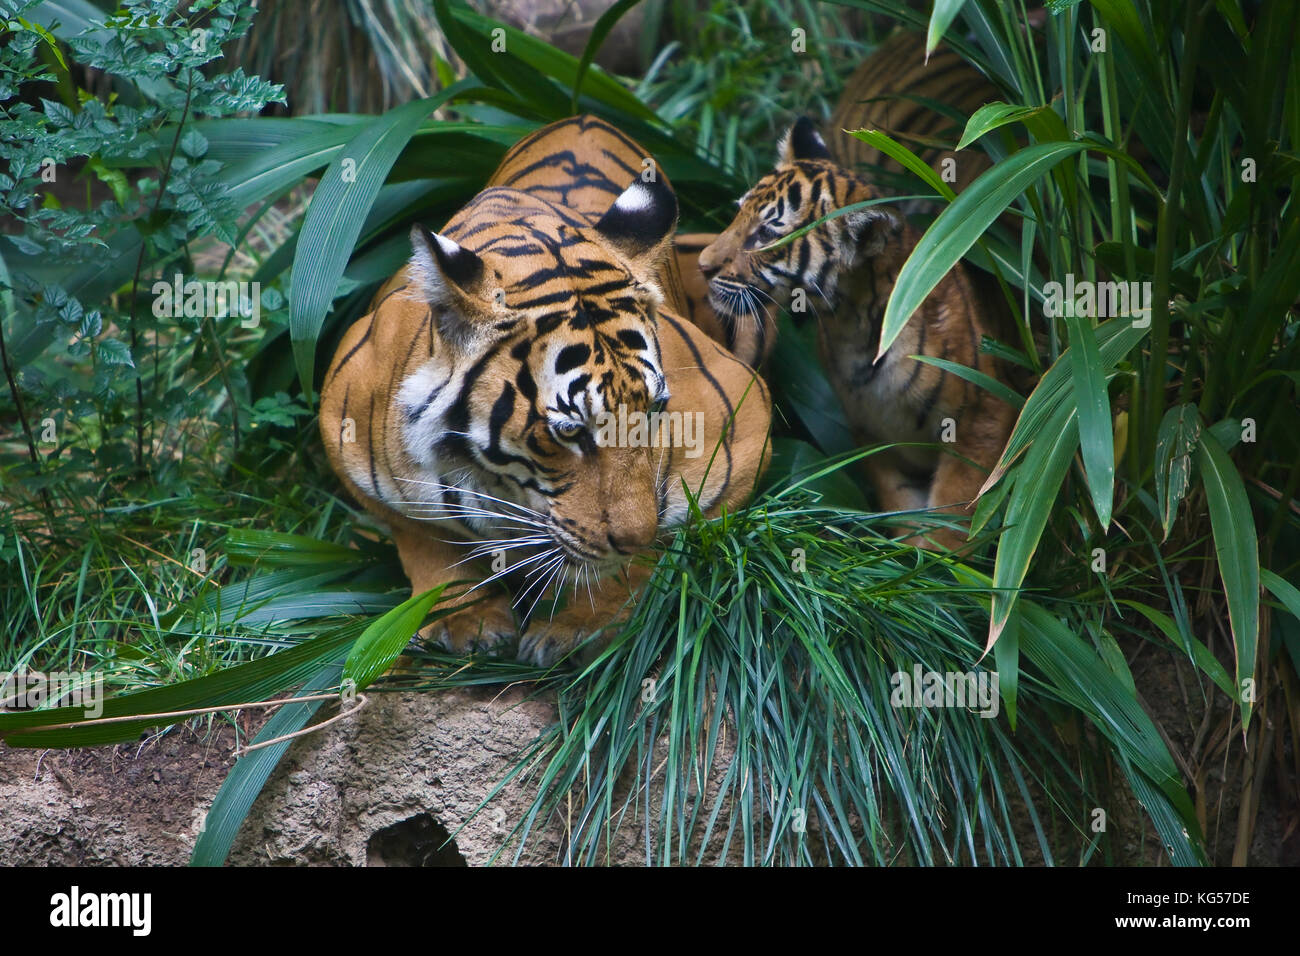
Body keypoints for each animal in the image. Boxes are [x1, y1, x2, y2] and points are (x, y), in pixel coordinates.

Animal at [319, 115, 772, 666]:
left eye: (654, 412)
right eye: (569, 432)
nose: (633, 538)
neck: (496, 485)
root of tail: (584, 116)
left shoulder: (742, 417)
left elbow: (654, 541)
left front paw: (580, 626)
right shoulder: (347, 438)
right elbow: (429, 542)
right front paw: (464, 620)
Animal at [696, 115, 1016, 551]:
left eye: (766, 234)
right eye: (738, 213)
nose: (702, 265)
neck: (851, 326)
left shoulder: (982, 416)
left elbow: (952, 515)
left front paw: (937, 565)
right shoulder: (875, 434)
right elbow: (900, 504)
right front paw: (907, 554)